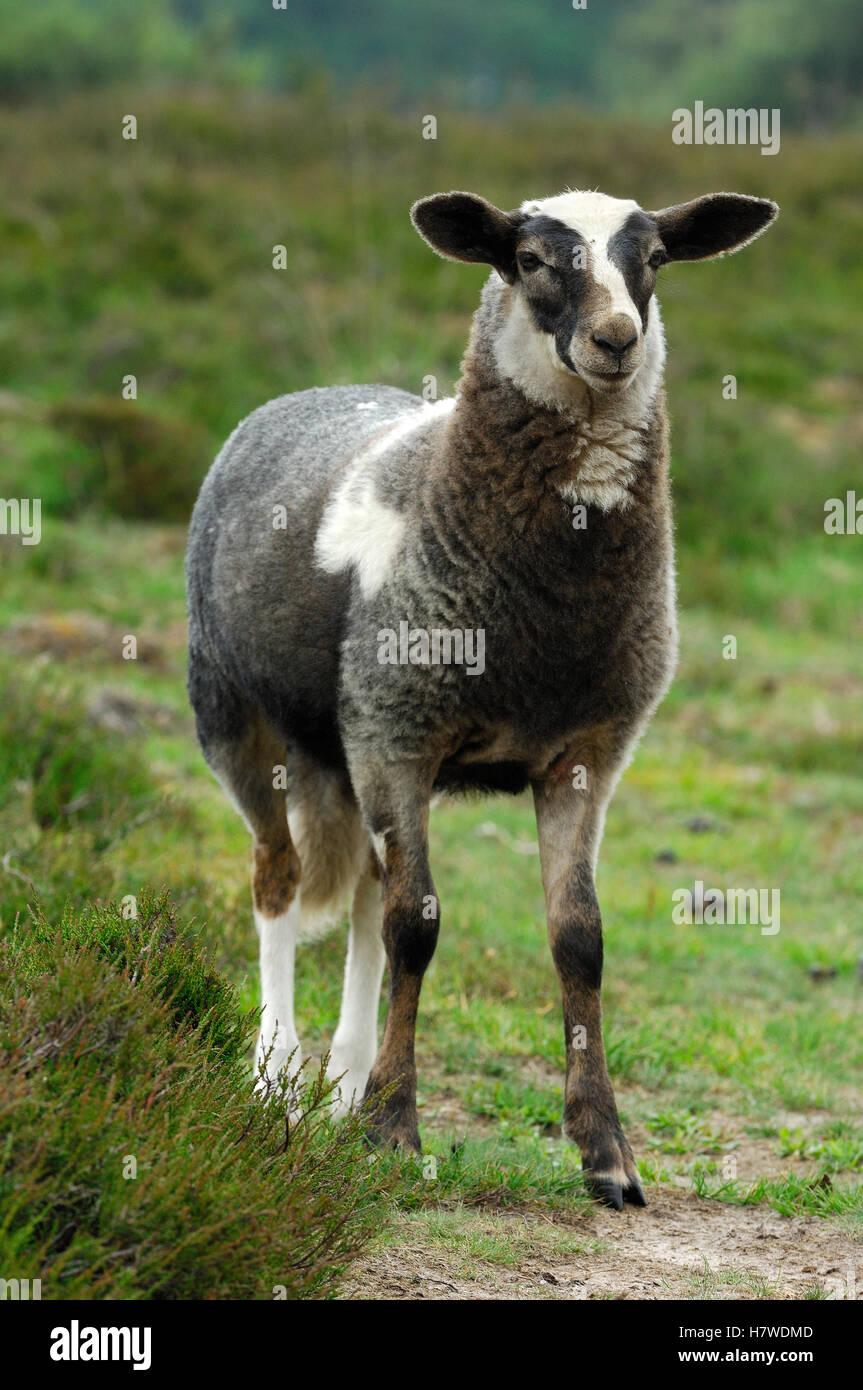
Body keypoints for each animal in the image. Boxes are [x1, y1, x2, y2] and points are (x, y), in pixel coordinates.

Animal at [185, 185, 777, 1209]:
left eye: (656, 258)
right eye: (529, 260)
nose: (617, 340)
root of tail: (303, 395)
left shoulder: (585, 752)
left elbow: (577, 937)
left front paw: (605, 1154)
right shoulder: (399, 729)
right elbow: (418, 927)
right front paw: (393, 1132)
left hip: (350, 747)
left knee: (364, 894)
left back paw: (341, 1082)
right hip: (237, 717)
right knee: (281, 882)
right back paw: (276, 1074)